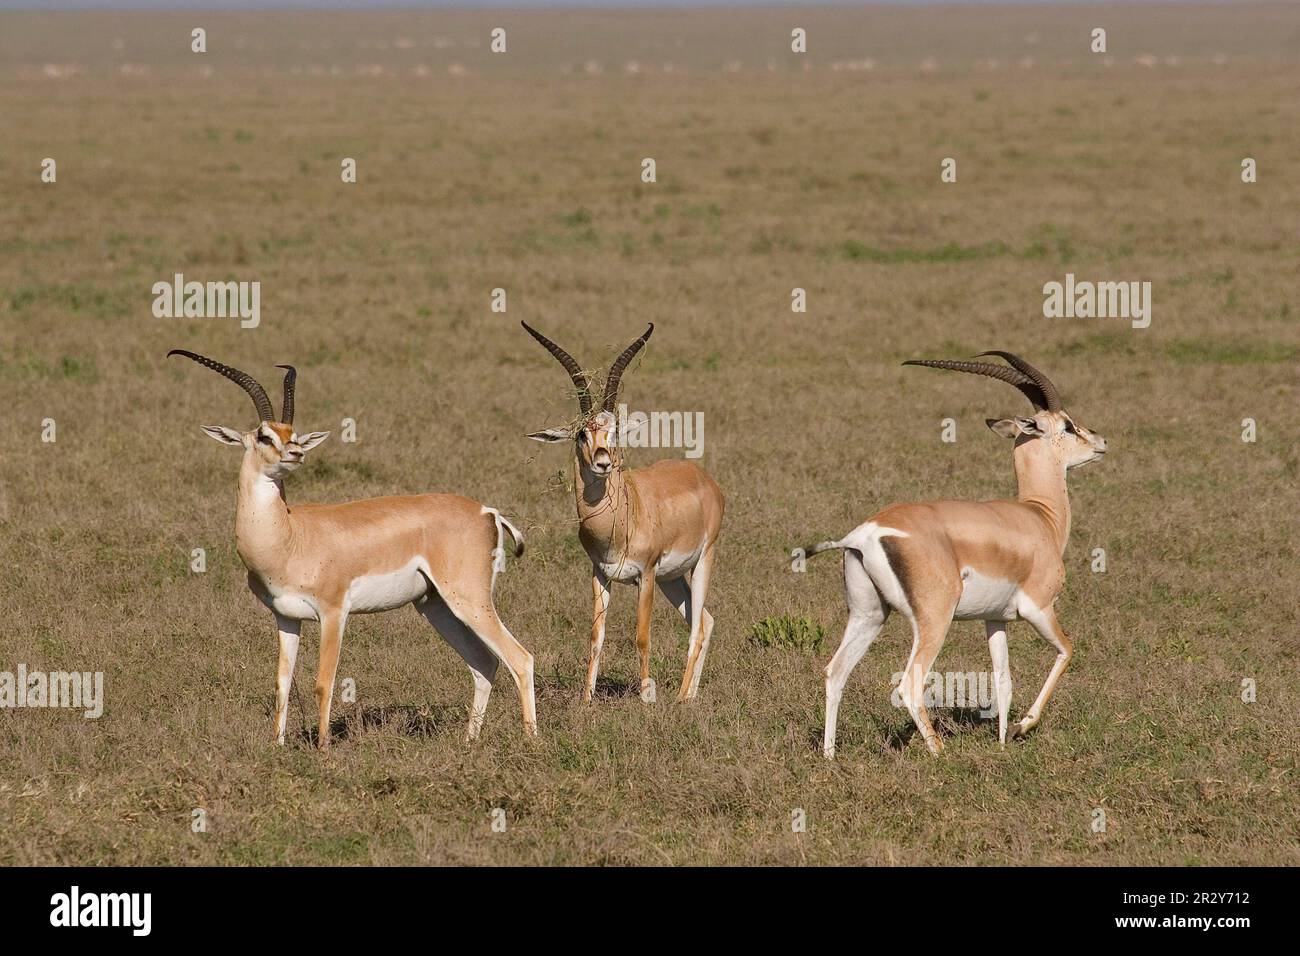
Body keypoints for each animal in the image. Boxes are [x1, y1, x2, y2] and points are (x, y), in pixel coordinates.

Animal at [168, 349, 537, 748]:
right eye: (265, 436)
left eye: (292, 434)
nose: (296, 454)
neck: (290, 537)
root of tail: (487, 511)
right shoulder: (285, 617)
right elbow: (282, 683)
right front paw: (276, 746)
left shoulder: (333, 613)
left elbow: (323, 683)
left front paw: (323, 749)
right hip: (435, 605)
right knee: (485, 663)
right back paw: (469, 742)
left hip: (468, 599)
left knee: (520, 658)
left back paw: (531, 741)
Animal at [521, 322, 725, 704]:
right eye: (581, 433)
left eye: (614, 431)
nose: (603, 462)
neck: (621, 522)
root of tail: (703, 478)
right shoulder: (600, 575)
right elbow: (595, 638)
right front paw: (586, 701)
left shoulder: (645, 575)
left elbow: (641, 636)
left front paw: (646, 698)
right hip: (672, 579)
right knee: (704, 619)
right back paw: (689, 695)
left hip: (702, 560)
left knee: (696, 628)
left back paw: (679, 698)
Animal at [805, 352, 1108, 757]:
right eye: (1069, 426)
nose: (1101, 441)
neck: (1039, 517)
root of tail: (864, 534)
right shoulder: (1039, 608)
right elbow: (1067, 651)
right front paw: (1022, 727)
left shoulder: (994, 619)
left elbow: (1003, 680)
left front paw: (1003, 743)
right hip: (935, 619)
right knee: (909, 683)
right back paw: (940, 755)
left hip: (869, 615)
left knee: (835, 672)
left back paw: (829, 755)